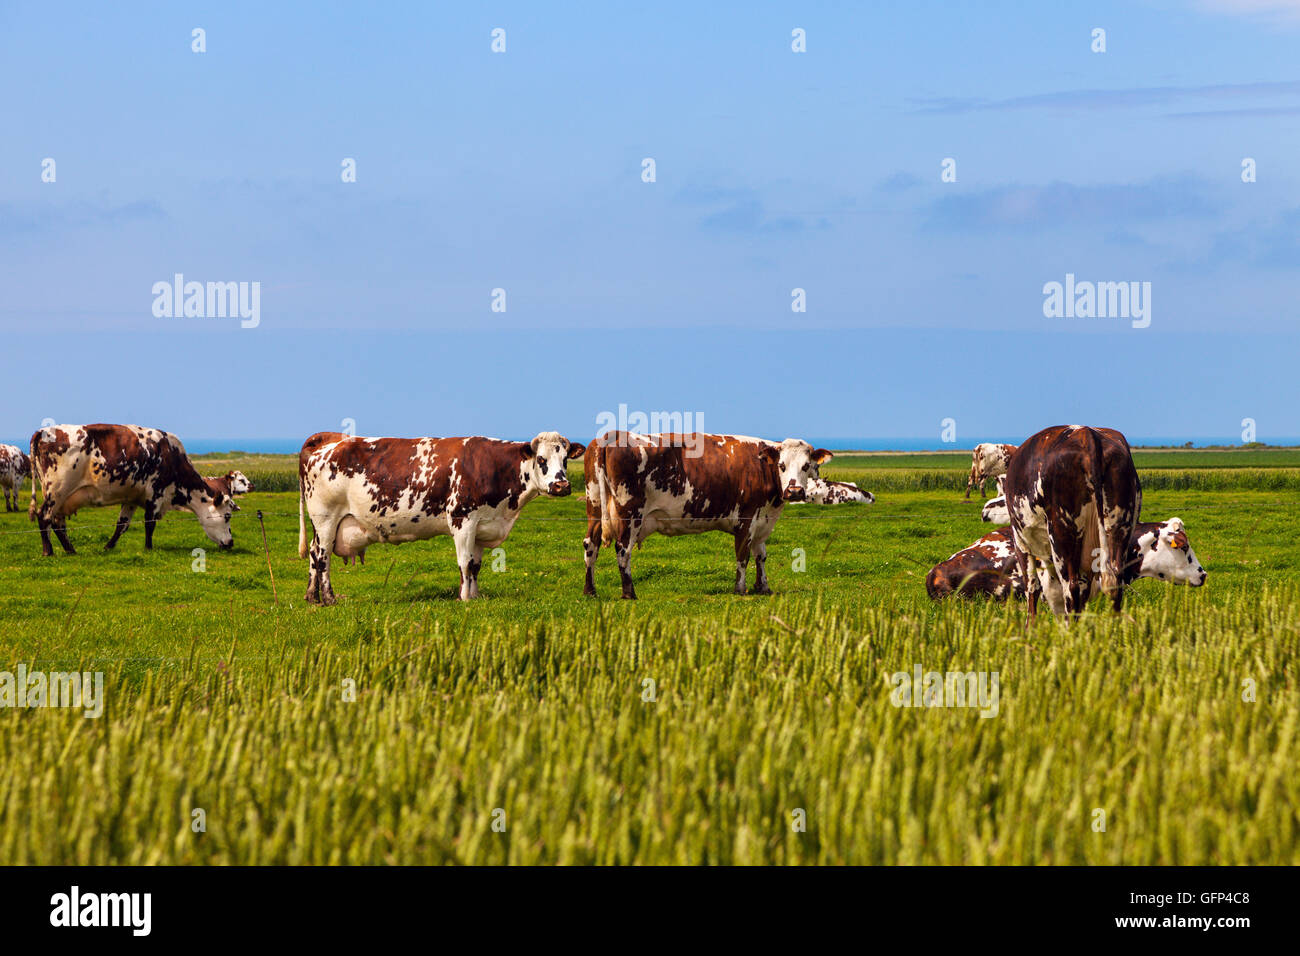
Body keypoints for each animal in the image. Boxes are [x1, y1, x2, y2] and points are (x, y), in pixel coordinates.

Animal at [27, 424, 235, 556]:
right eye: (227, 516)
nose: (231, 543)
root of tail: (43, 431)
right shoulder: (155, 493)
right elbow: (150, 523)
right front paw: (149, 548)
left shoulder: (132, 498)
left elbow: (122, 525)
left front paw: (108, 547)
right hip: (57, 491)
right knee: (44, 516)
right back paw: (48, 551)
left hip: (62, 497)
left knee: (57, 523)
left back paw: (70, 550)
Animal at [297, 430, 585, 604]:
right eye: (541, 459)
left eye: (565, 460)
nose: (562, 485)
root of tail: (330, 438)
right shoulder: (462, 520)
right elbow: (465, 564)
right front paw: (465, 598)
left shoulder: (482, 525)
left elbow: (476, 565)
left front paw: (475, 596)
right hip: (325, 518)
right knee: (322, 556)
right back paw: (330, 598)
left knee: (312, 551)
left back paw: (312, 597)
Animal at [583, 432, 832, 599]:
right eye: (781, 465)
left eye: (806, 465)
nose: (794, 491)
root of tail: (614, 434)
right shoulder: (747, 518)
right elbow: (743, 555)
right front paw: (740, 589)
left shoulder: (762, 520)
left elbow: (760, 555)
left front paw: (763, 587)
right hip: (630, 512)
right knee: (623, 549)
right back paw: (629, 592)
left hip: (594, 506)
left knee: (590, 544)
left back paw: (590, 590)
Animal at [1005, 425, 1140, 619]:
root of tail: (1088, 434)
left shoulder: (1020, 541)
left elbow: (1032, 587)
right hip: (1119, 527)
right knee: (1114, 584)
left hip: (1062, 532)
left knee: (1071, 587)